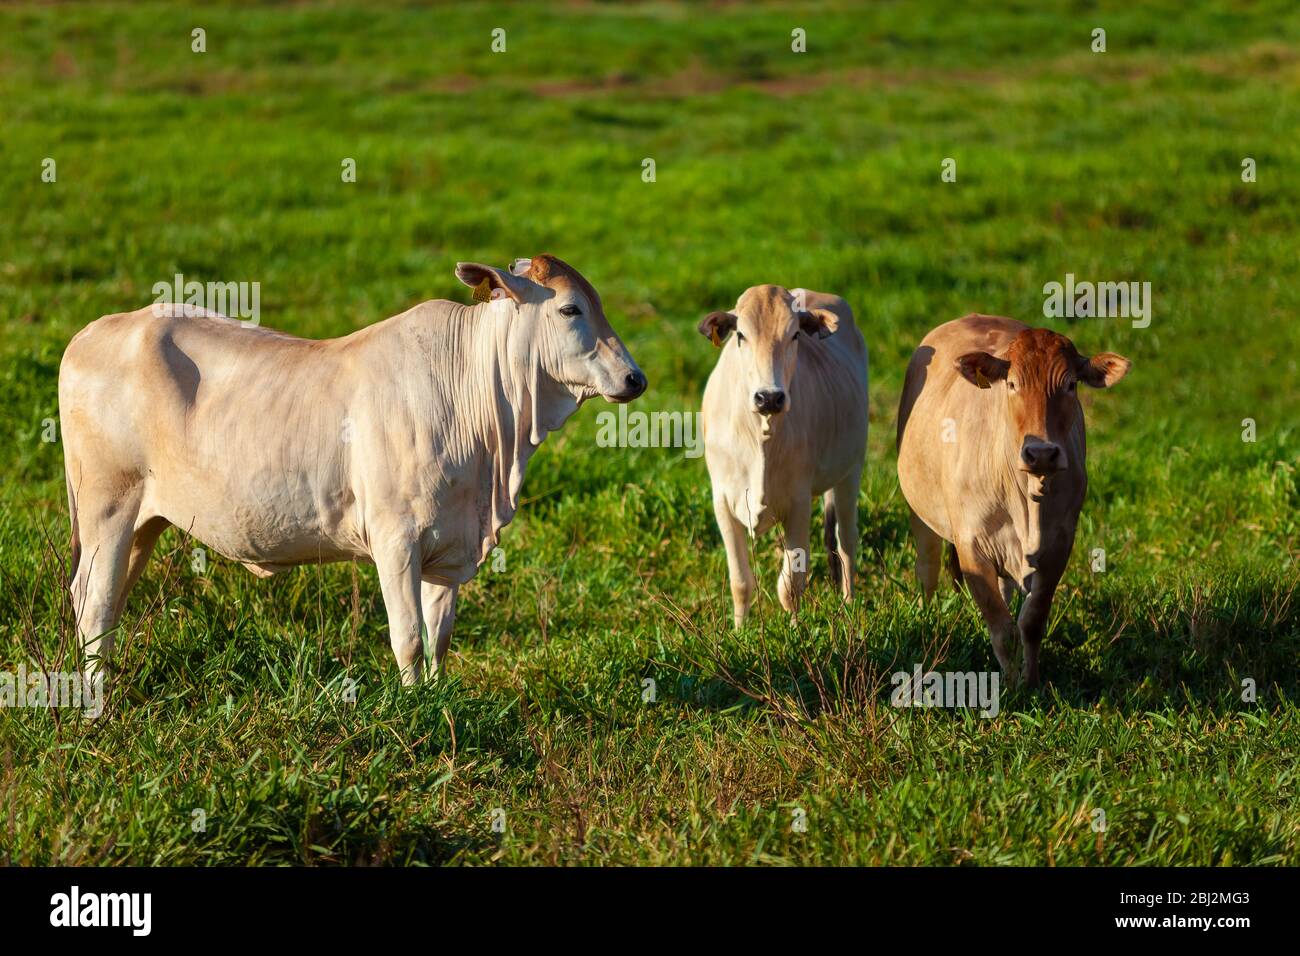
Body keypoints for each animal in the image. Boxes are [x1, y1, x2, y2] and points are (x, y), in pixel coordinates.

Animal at [58, 254, 646, 686]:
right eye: (570, 309)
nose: (635, 378)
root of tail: (95, 331)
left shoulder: (447, 547)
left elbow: (438, 638)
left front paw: (439, 698)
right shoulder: (395, 537)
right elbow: (407, 638)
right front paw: (414, 706)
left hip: (142, 521)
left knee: (107, 600)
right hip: (107, 508)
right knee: (93, 602)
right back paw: (96, 699)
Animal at [698, 285, 869, 628]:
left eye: (794, 335)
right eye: (740, 335)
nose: (769, 397)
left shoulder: (798, 502)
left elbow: (791, 584)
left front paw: (795, 631)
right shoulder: (721, 500)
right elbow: (741, 581)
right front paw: (739, 631)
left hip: (851, 470)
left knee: (847, 541)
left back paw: (848, 606)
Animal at [896, 314, 1131, 687]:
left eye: (1070, 385)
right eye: (1012, 384)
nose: (1042, 453)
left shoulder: (1058, 546)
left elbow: (1030, 622)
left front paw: (1030, 682)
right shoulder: (971, 546)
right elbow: (1001, 627)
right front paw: (1007, 685)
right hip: (920, 513)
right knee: (927, 570)